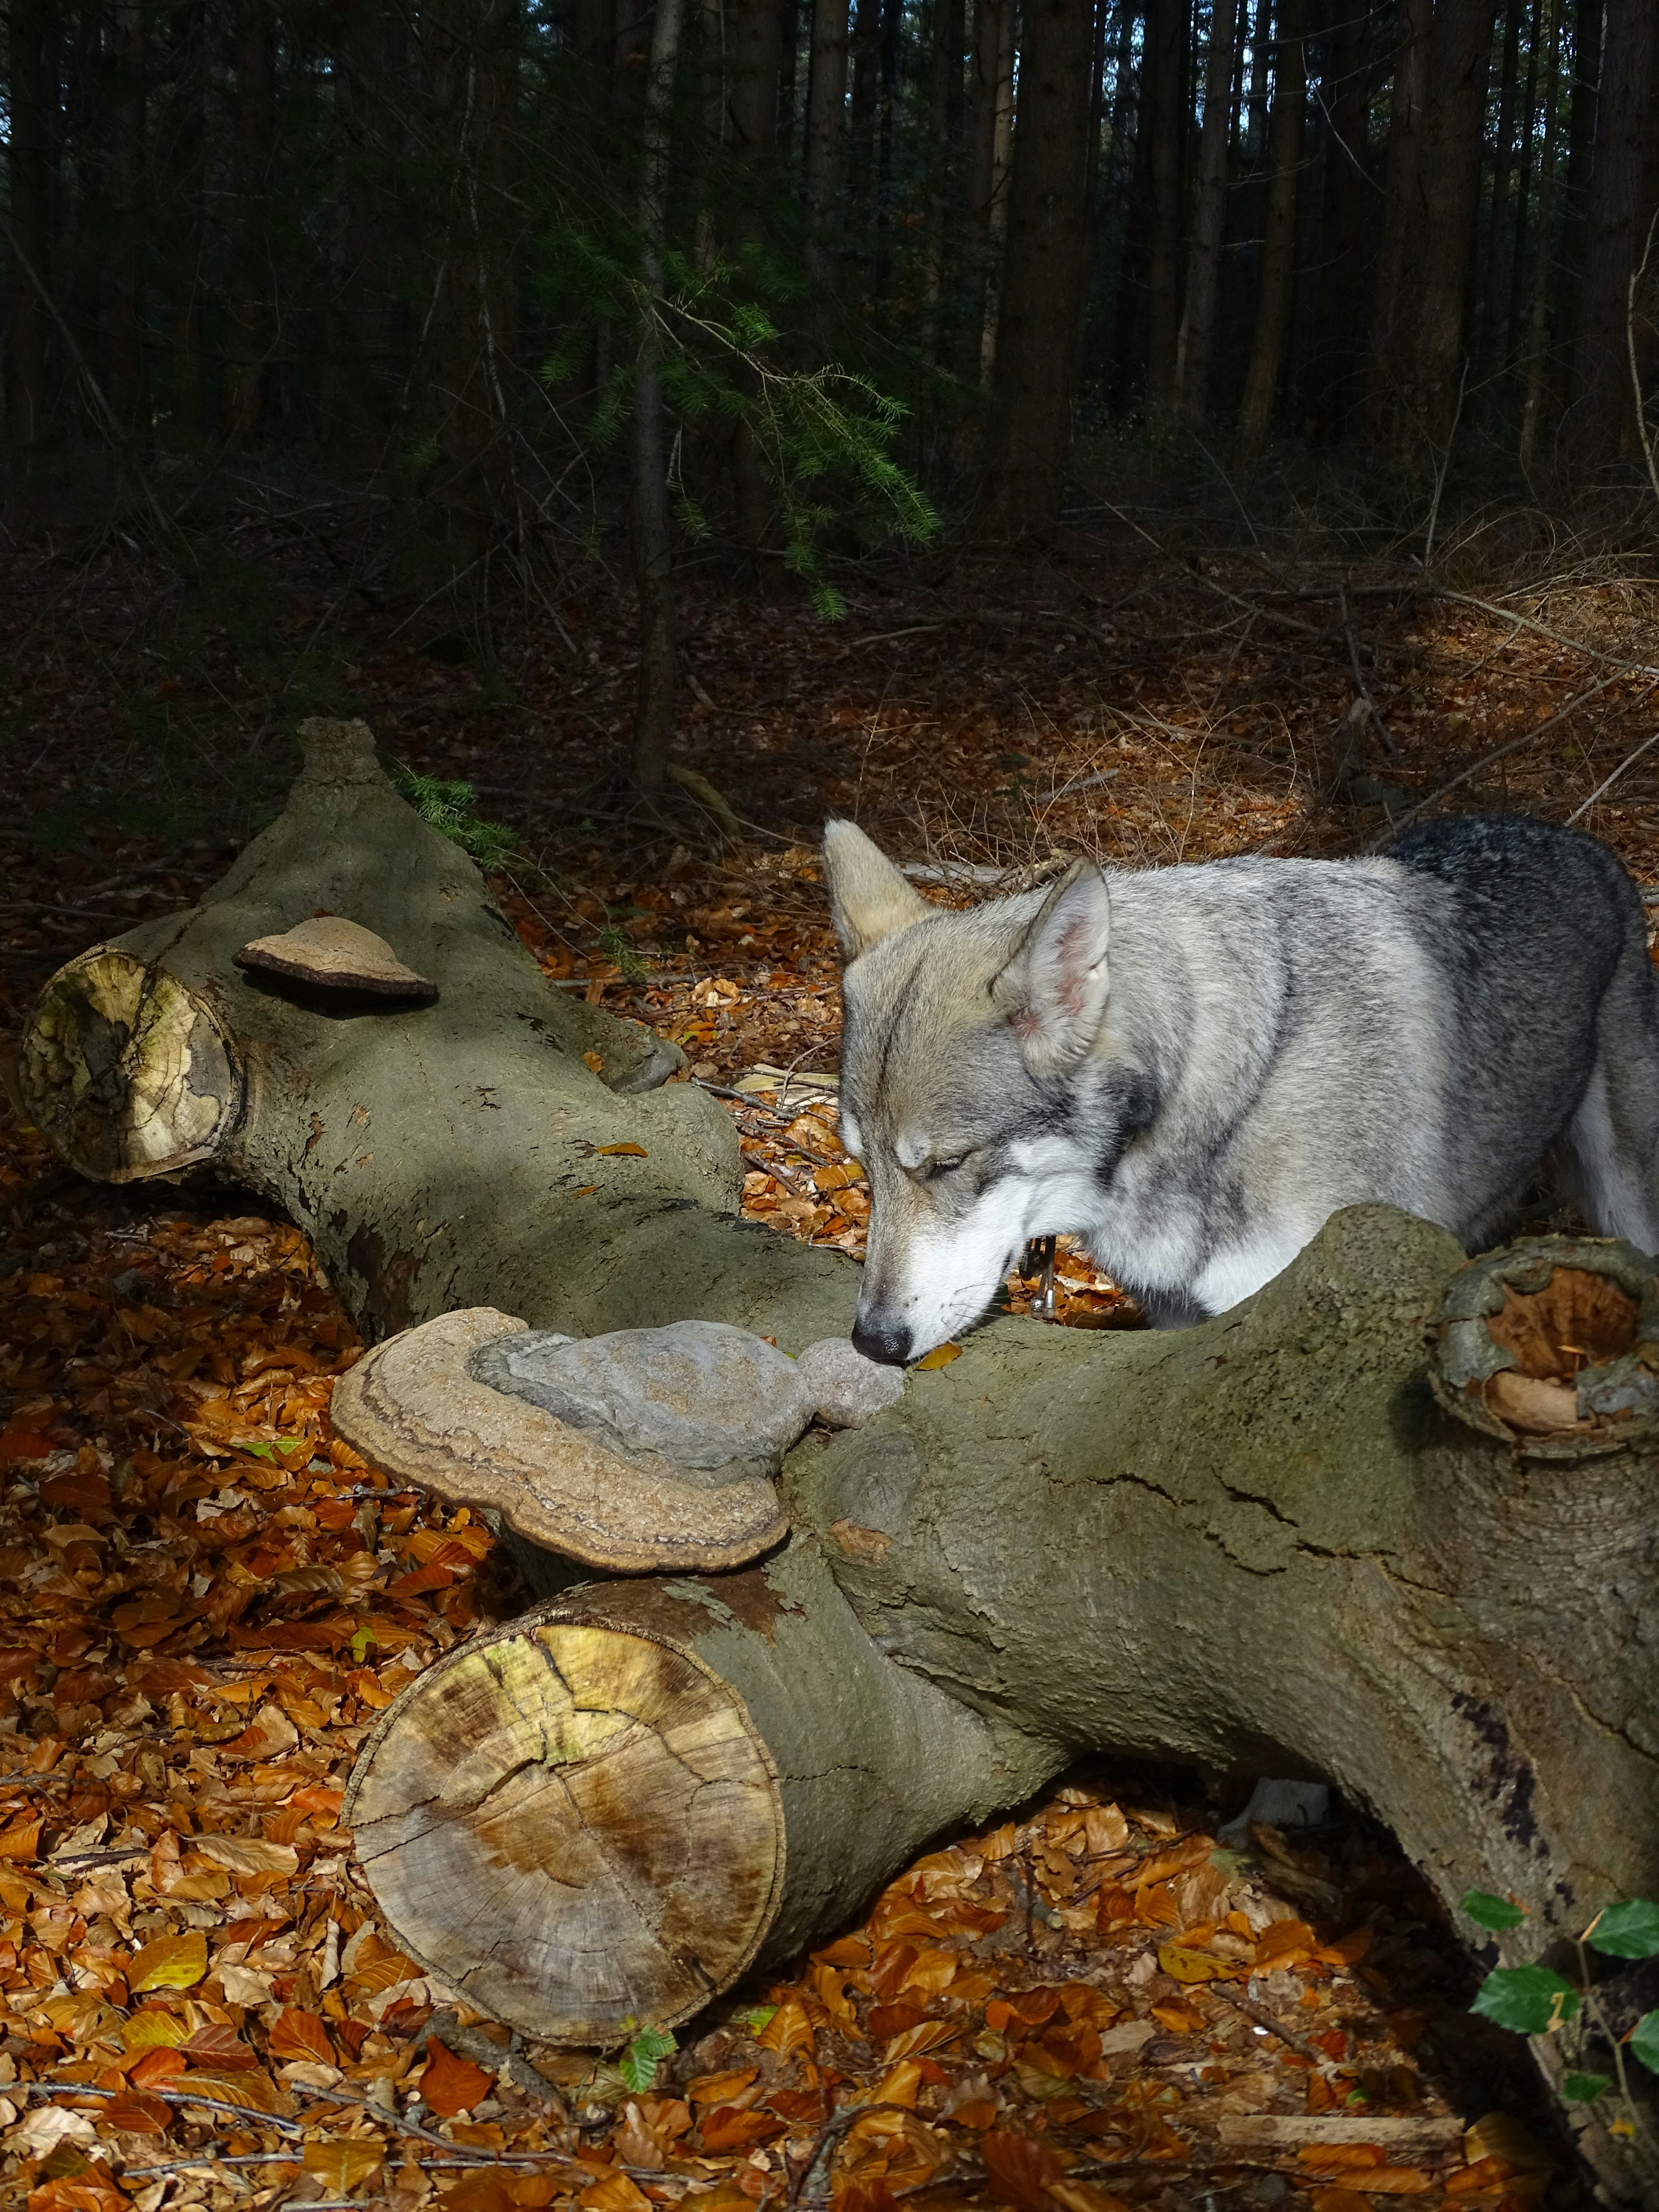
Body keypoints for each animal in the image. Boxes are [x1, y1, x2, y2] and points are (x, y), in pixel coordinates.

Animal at [822, 814, 1659, 1365]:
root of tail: (1575, 838)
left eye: (945, 1164)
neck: (1227, 1097)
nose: (873, 1341)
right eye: (864, 1169)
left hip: (1626, 1201)